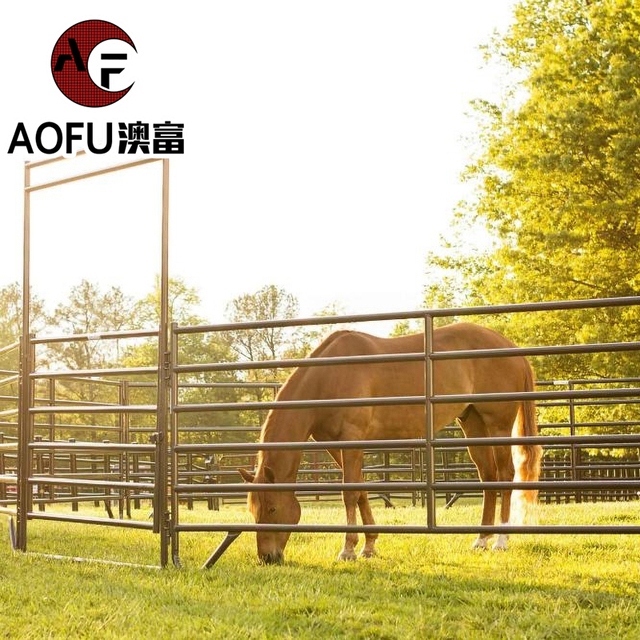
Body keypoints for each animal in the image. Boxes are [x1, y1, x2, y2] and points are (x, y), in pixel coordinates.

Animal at [238, 322, 542, 564]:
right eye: (252, 509)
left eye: (272, 508)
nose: (267, 557)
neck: (329, 376)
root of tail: (509, 346)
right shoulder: (336, 445)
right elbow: (360, 490)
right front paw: (369, 545)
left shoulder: (351, 440)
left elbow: (349, 493)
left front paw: (348, 550)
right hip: (474, 424)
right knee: (488, 477)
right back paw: (481, 539)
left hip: (497, 425)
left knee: (505, 475)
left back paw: (501, 541)